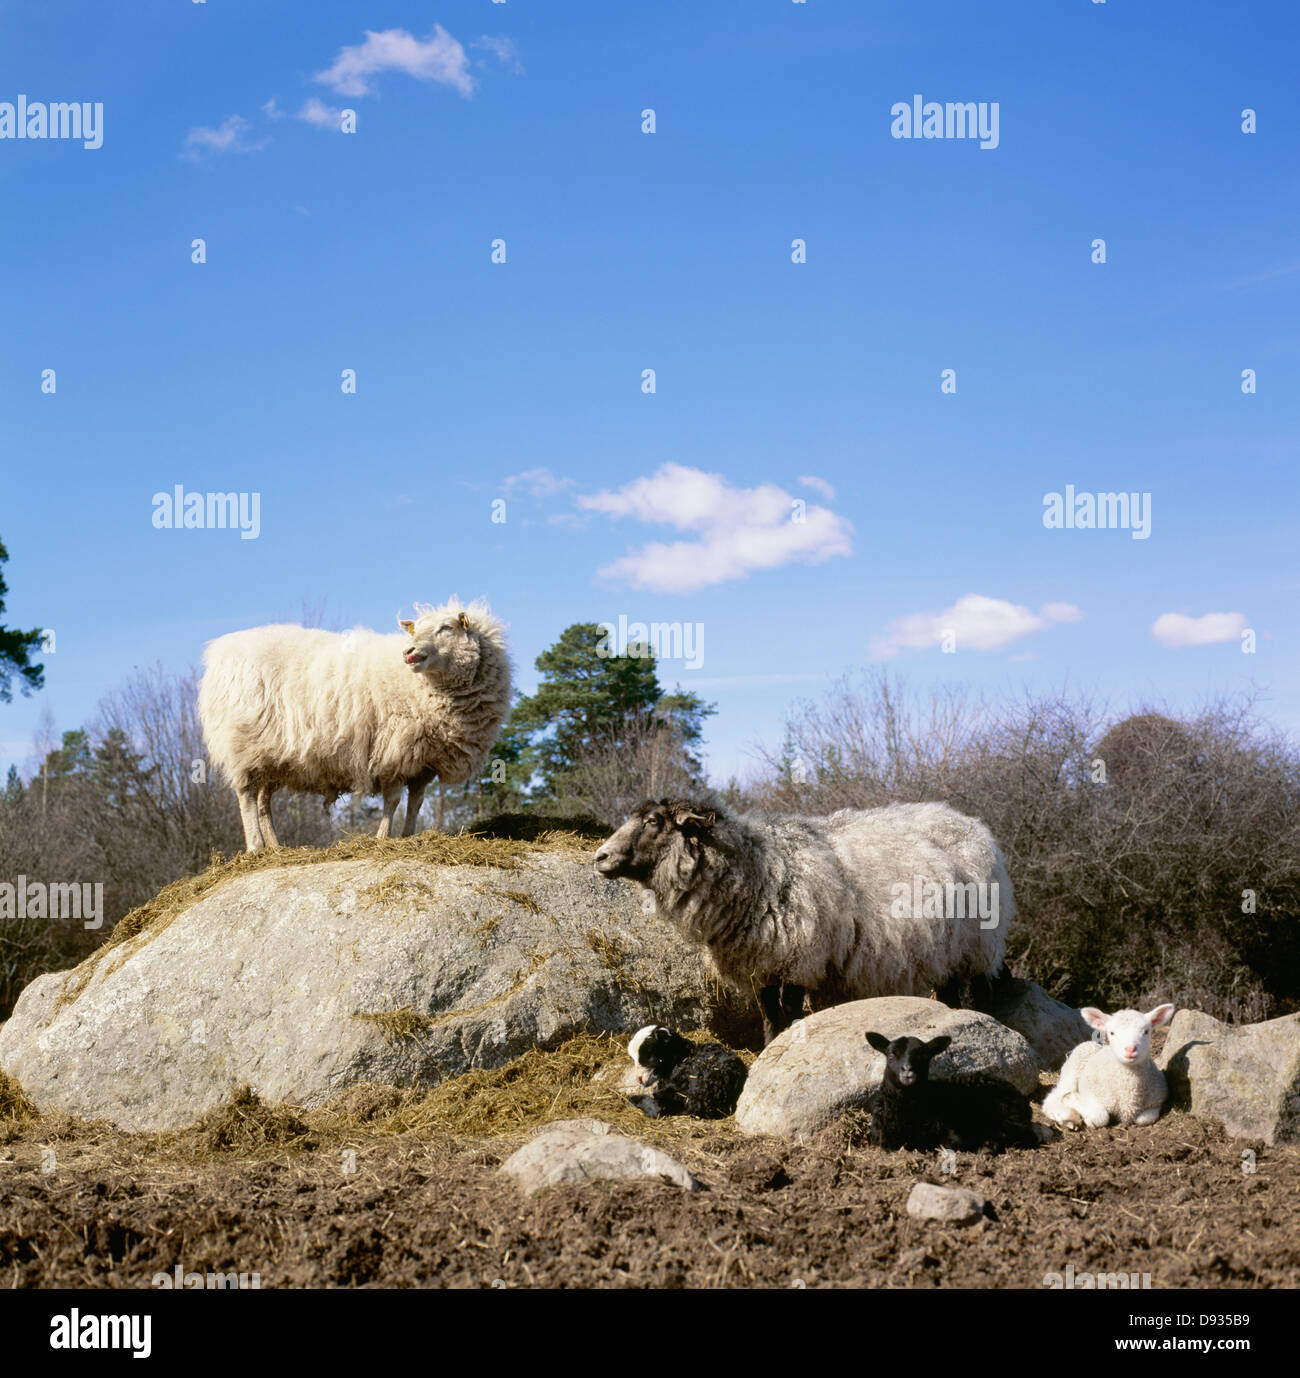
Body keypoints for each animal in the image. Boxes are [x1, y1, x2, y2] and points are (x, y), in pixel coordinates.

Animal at [197, 597, 511, 851]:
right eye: (416, 628)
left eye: (446, 628)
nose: (408, 651)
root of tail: (220, 653)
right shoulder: (394, 750)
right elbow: (393, 801)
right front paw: (383, 838)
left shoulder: (423, 761)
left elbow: (416, 802)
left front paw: (409, 836)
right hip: (242, 743)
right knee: (247, 796)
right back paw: (256, 847)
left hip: (270, 754)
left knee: (263, 801)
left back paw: (276, 847)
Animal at [593, 798, 1012, 1045]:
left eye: (652, 822)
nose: (600, 857)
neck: (757, 866)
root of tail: (973, 824)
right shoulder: (759, 964)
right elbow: (768, 1014)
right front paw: (767, 1049)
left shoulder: (798, 958)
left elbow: (790, 1010)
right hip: (947, 948)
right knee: (949, 990)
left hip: (976, 944)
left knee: (975, 990)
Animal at [1041, 1004, 1176, 1128]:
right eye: (1112, 1033)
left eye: (1146, 1031)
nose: (1130, 1049)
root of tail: (1100, 1046)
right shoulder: (1091, 1093)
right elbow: (1101, 1117)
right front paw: (1073, 1100)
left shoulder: (1157, 1102)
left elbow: (1143, 1119)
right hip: (1073, 1068)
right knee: (1054, 1097)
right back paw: (1068, 1117)